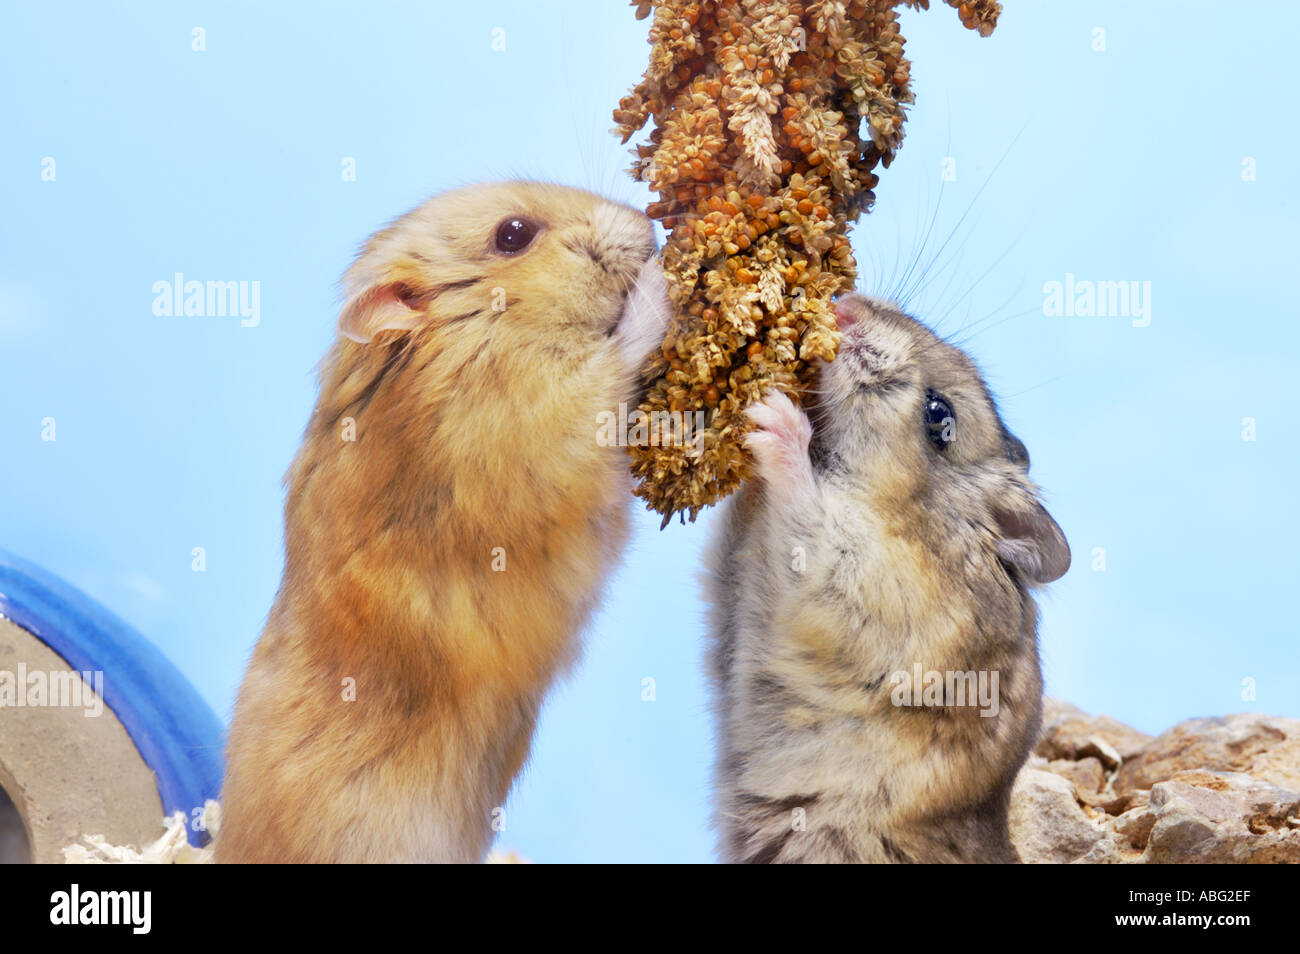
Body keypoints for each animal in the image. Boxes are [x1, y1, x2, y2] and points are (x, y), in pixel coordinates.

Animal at [218, 181, 670, 863]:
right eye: (512, 235)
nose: (651, 228)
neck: (475, 333)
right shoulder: (540, 436)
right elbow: (616, 362)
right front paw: (662, 286)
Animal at [705, 293, 1070, 864]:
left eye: (940, 416)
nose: (846, 307)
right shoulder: (731, 582)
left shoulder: (860, 587)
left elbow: (807, 513)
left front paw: (771, 415)